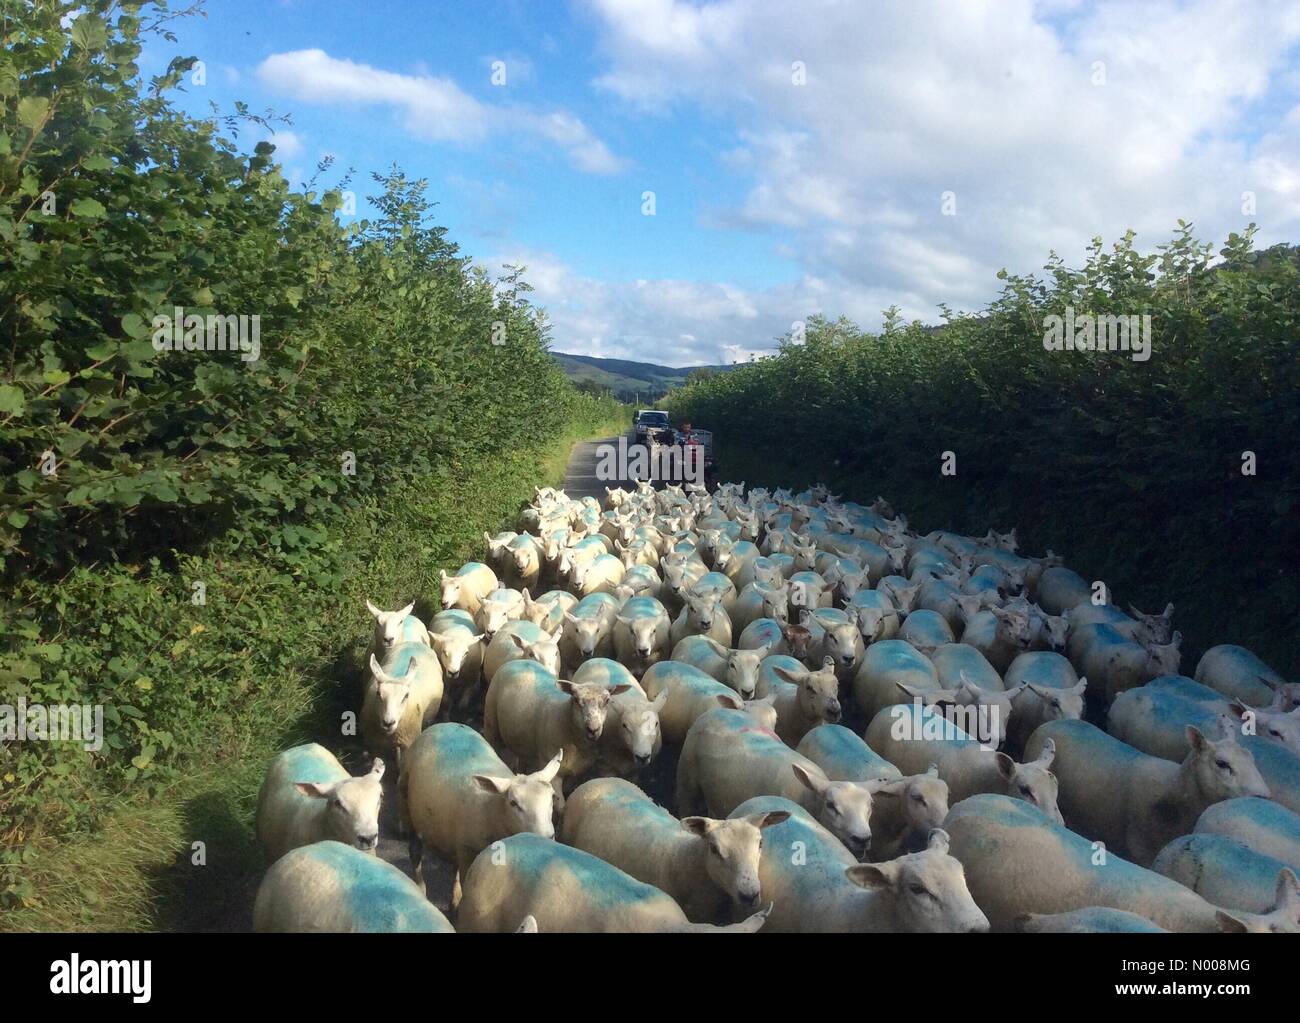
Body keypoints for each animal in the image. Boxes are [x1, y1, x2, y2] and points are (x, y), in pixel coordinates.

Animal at [400, 722, 561, 908]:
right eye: (513, 803)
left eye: (552, 798)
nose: (547, 837)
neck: (494, 811)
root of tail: (442, 724)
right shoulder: (467, 850)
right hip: (407, 808)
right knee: (415, 851)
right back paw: (421, 888)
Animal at [482, 657, 631, 795]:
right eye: (576, 700)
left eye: (607, 700)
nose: (593, 729)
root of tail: (518, 661)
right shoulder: (552, 770)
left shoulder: (576, 771)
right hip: (490, 722)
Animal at [676, 705, 883, 858]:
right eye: (831, 805)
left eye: (871, 805)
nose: (862, 839)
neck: (807, 795)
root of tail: (716, 711)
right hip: (687, 778)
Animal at [1023, 719, 1269, 866]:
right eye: (1222, 763)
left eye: (1252, 758)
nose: (1264, 797)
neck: (1175, 792)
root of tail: (1054, 721)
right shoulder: (1140, 850)